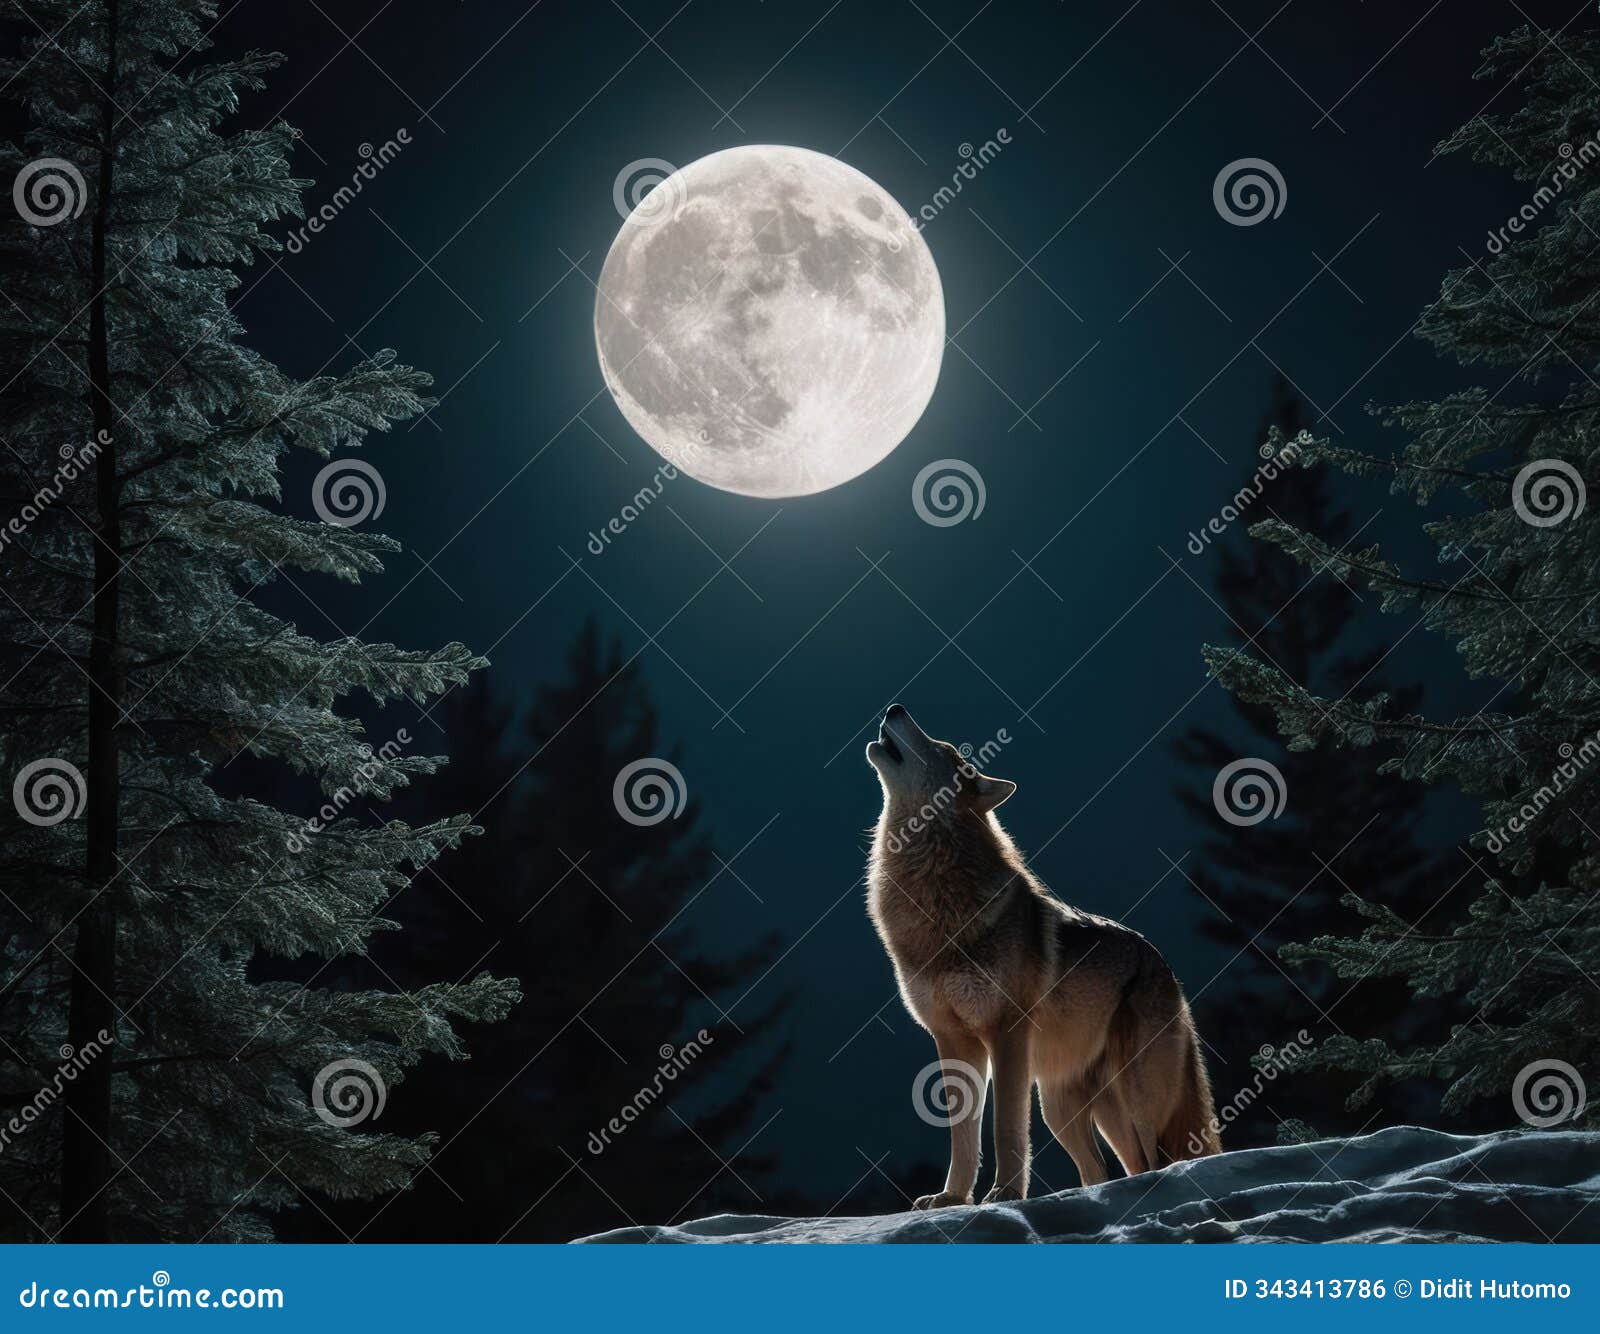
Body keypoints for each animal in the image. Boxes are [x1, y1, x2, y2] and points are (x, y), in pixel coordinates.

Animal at [865, 704, 1219, 1207]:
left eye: (942, 748)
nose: (895, 708)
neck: (937, 898)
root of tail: (1167, 969)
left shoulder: (1007, 1033)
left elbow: (1005, 1128)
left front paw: (1006, 1193)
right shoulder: (953, 1041)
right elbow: (962, 1138)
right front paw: (952, 1199)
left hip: (1134, 1093)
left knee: (1155, 1159)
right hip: (1065, 1108)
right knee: (1105, 1169)